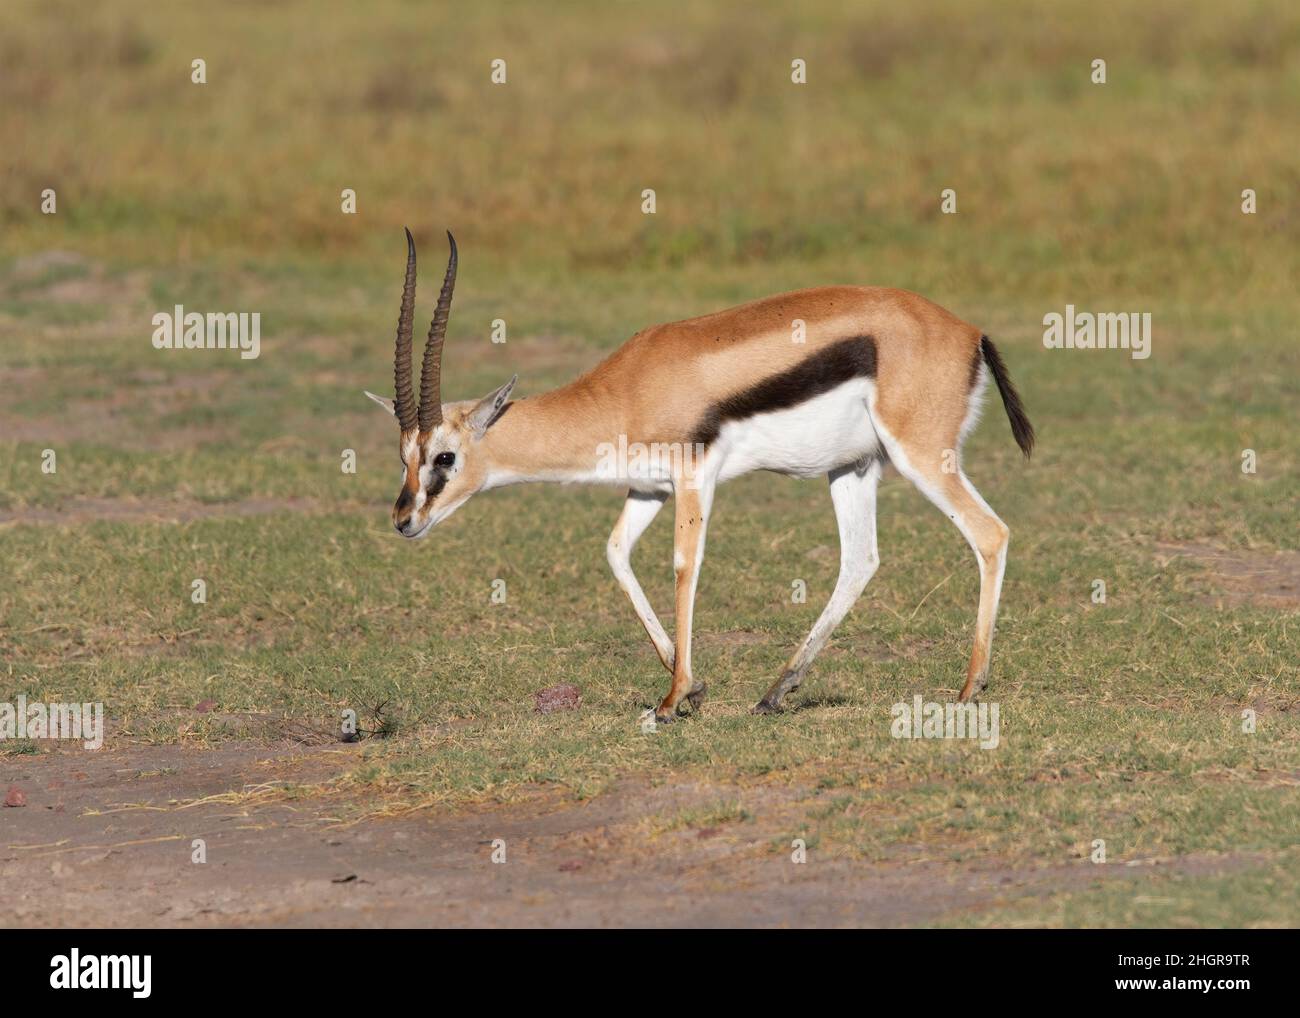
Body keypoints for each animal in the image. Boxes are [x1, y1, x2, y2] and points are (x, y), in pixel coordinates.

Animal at [367, 230, 1034, 722]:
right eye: (402, 455)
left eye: (444, 457)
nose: (403, 519)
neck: (626, 389)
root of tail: (970, 333)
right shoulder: (647, 487)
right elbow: (615, 552)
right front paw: (690, 686)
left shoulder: (693, 478)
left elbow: (685, 566)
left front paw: (671, 700)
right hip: (852, 468)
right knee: (861, 559)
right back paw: (776, 692)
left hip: (922, 457)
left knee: (990, 533)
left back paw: (969, 688)